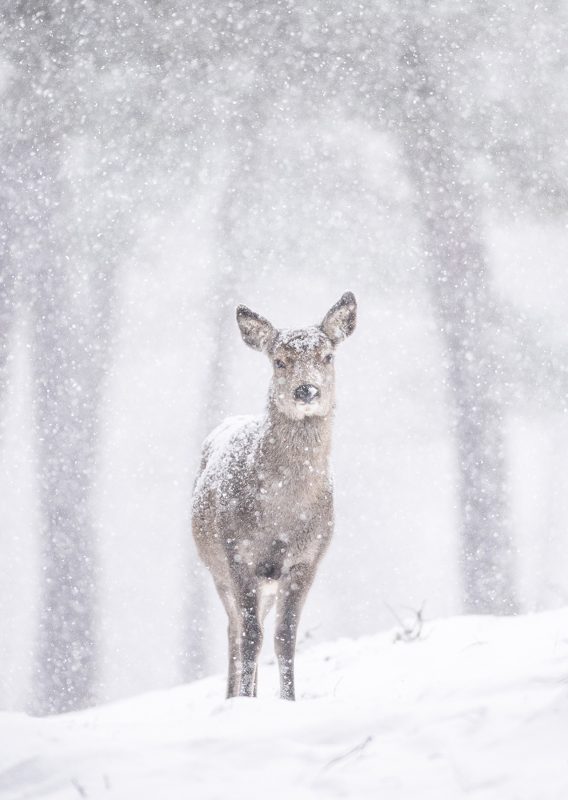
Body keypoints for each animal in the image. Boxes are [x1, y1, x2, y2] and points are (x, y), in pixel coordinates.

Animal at [192, 292, 357, 700]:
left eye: (327, 356)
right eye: (279, 360)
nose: (306, 390)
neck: (282, 516)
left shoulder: (308, 558)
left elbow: (285, 637)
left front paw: (287, 700)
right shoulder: (238, 553)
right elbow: (251, 636)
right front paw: (246, 702)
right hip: (217, 570)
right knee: (235, 629)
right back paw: (235, 695)